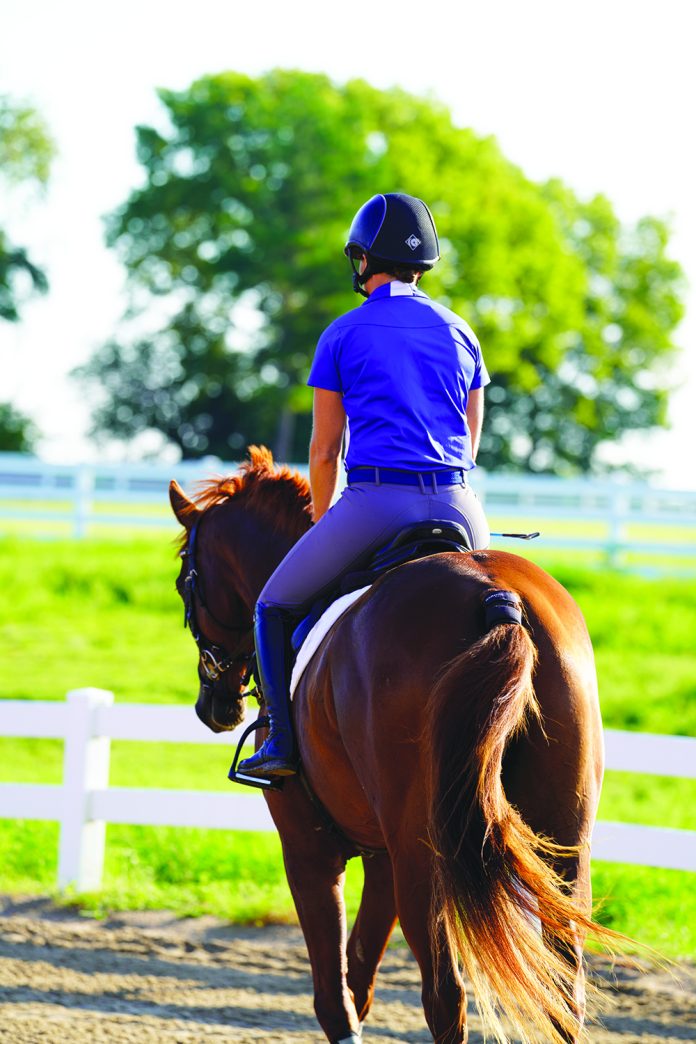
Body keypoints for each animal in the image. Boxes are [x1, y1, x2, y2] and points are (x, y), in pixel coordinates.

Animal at [169, 446, 610, 1044]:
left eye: (184, 582)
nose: (213, 706)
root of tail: (499, 598)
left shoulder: (308, 847)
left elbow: (335, 993)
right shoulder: (380, 858)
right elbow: (359, 975)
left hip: (422, 853)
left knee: (446, 995)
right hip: (562, 842)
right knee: (564, 990)